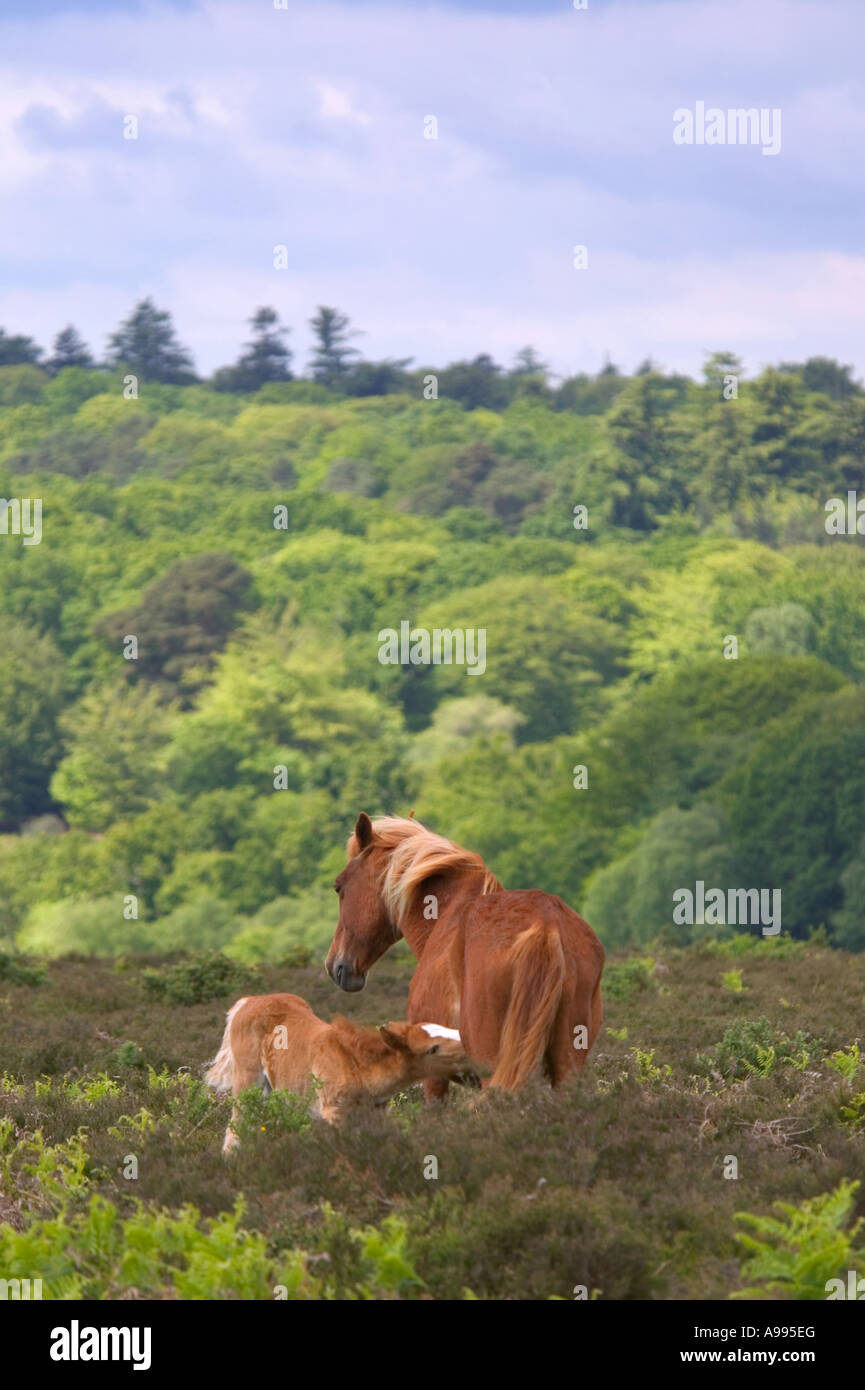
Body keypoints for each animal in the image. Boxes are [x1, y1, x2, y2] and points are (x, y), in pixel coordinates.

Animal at [206, 991, 469, 1154]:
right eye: (433, 1048)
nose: (469, 1051)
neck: (356, 1064)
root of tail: (248, 1001)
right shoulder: (335, 1113)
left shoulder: (377, 1113)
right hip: (247, 1082)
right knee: (235, 1127)